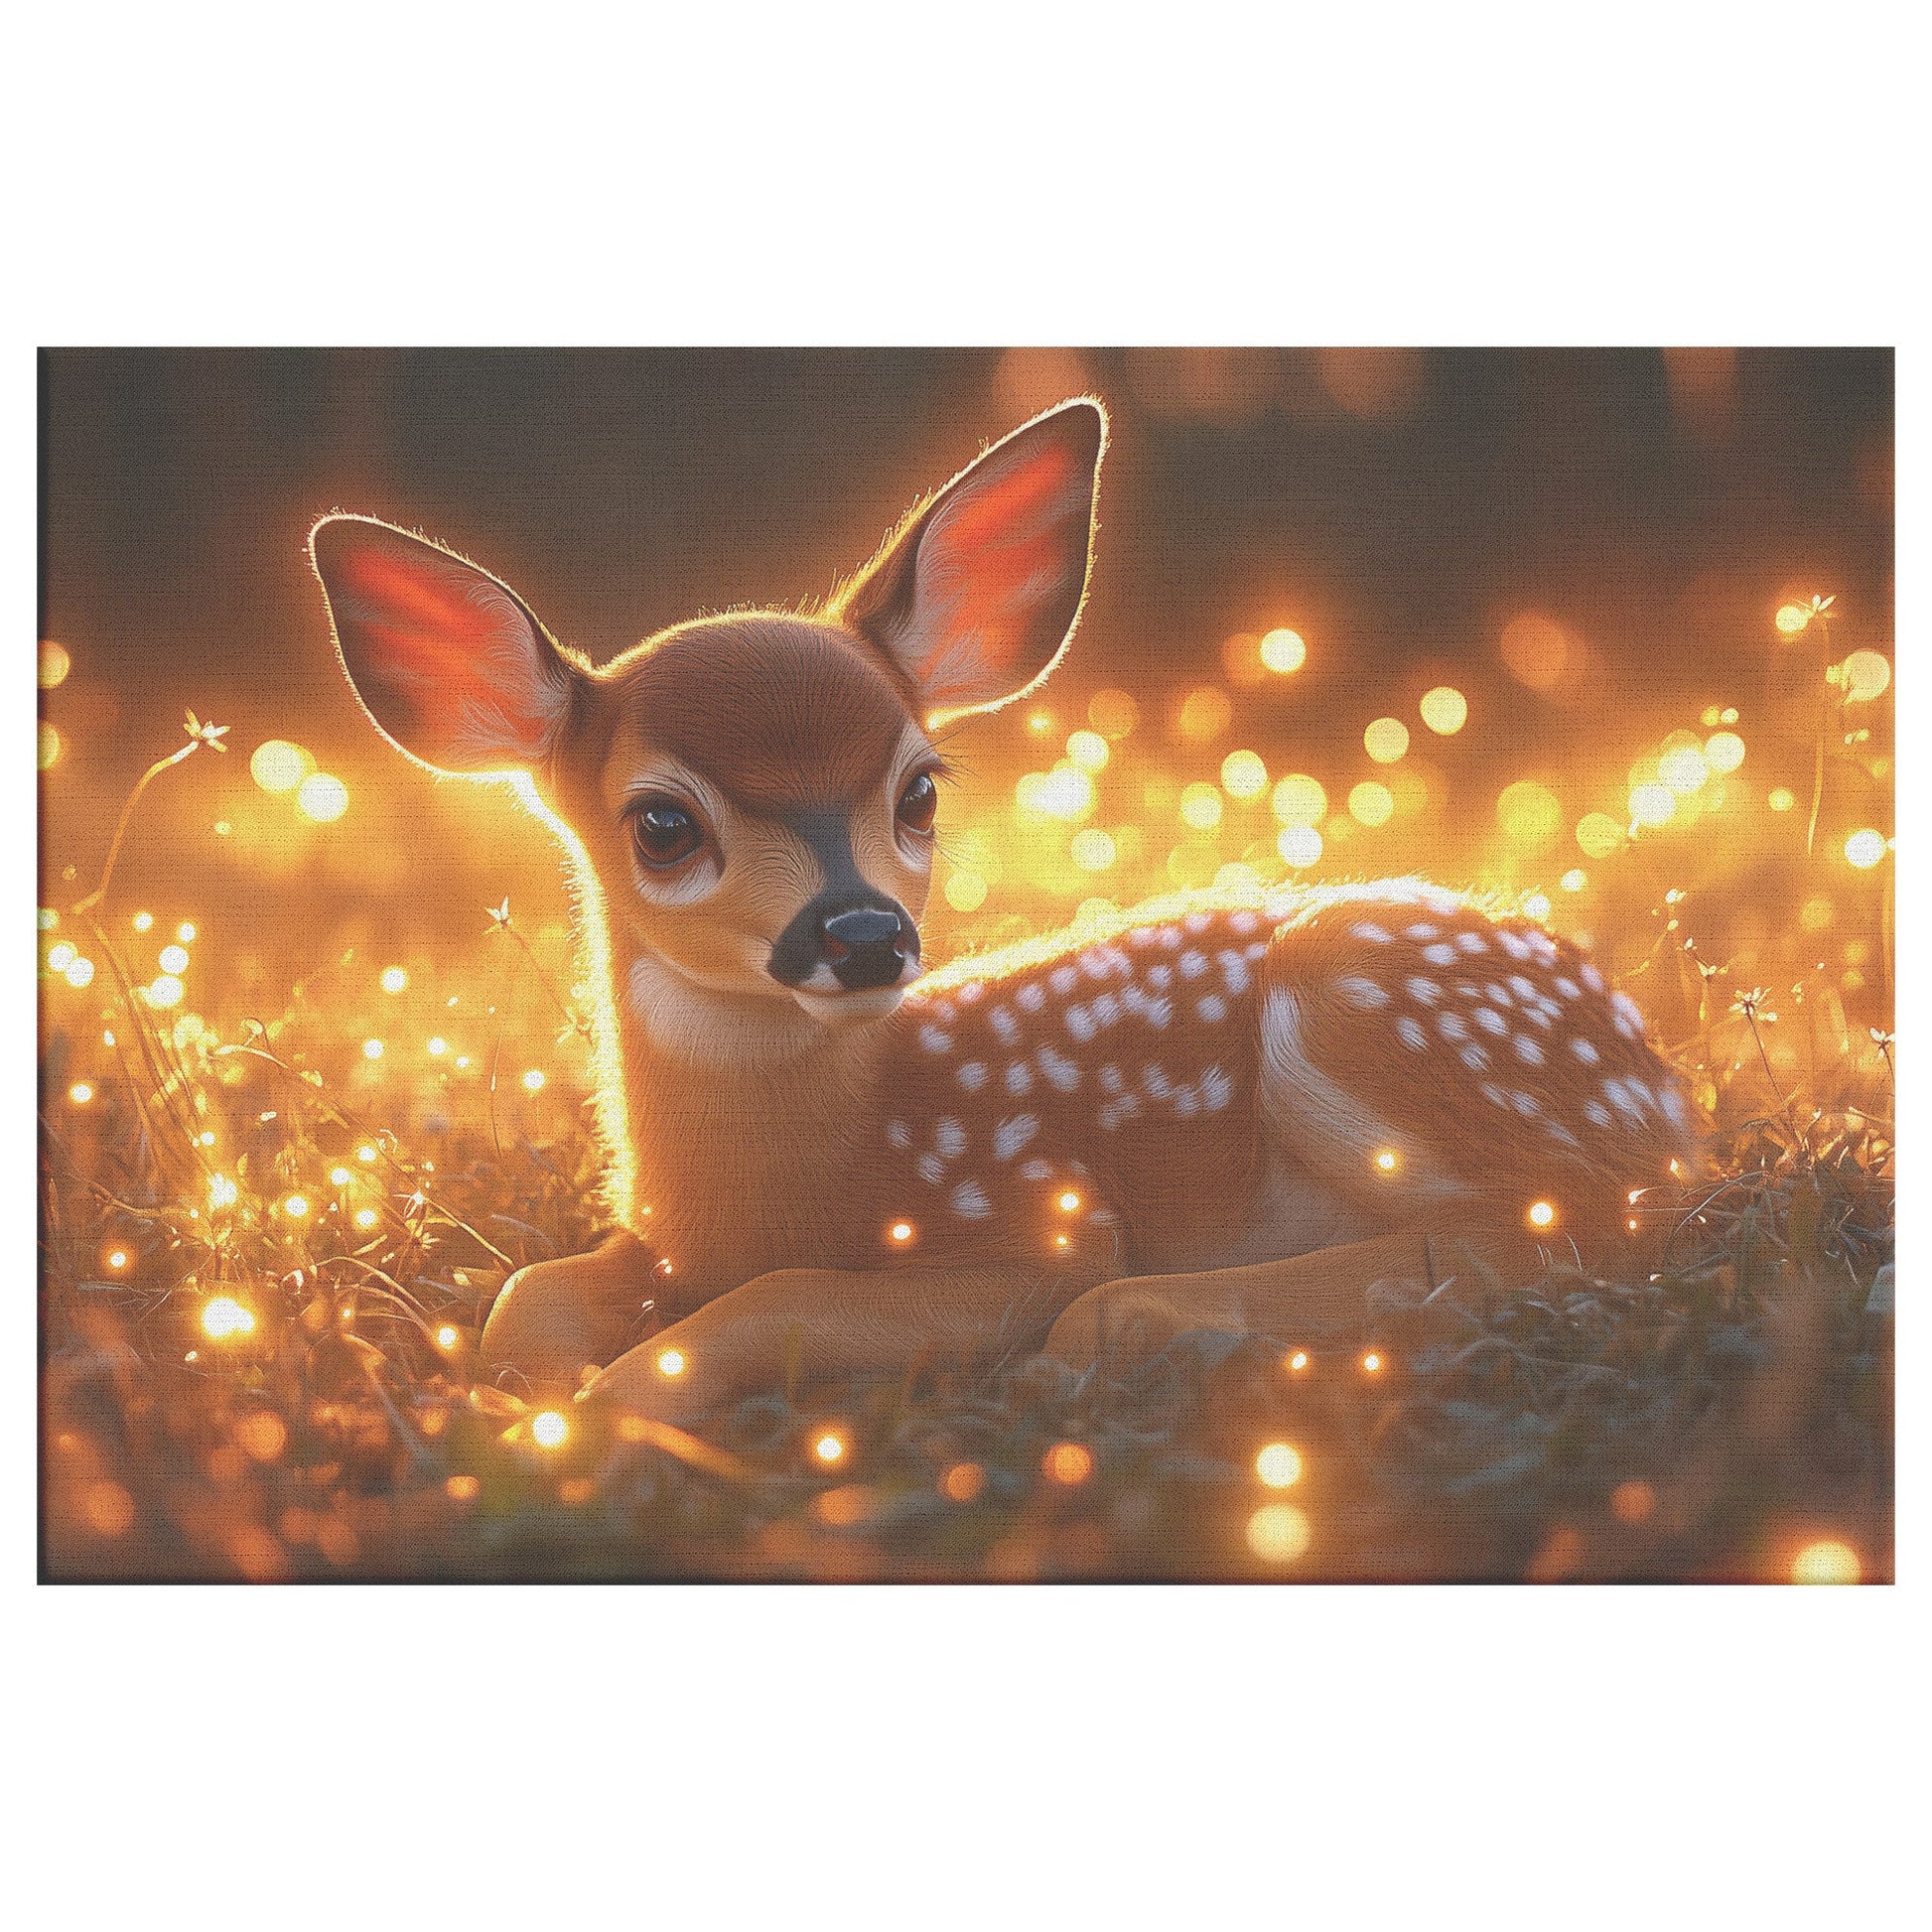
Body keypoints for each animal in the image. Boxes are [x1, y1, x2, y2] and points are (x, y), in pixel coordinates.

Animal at [309, 397, 1696, 1426]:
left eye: (919, 787)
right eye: (660, 822)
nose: (864, 936)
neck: (791, 1174)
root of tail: (1664, 1092)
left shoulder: (1032, 1214)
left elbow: (785, 1298)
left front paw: (597, 1418)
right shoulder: (655, 1242)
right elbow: (522, 1298)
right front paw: (533, 1395)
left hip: (1361, 999)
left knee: (1552, 1229)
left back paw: (1129, 1328)